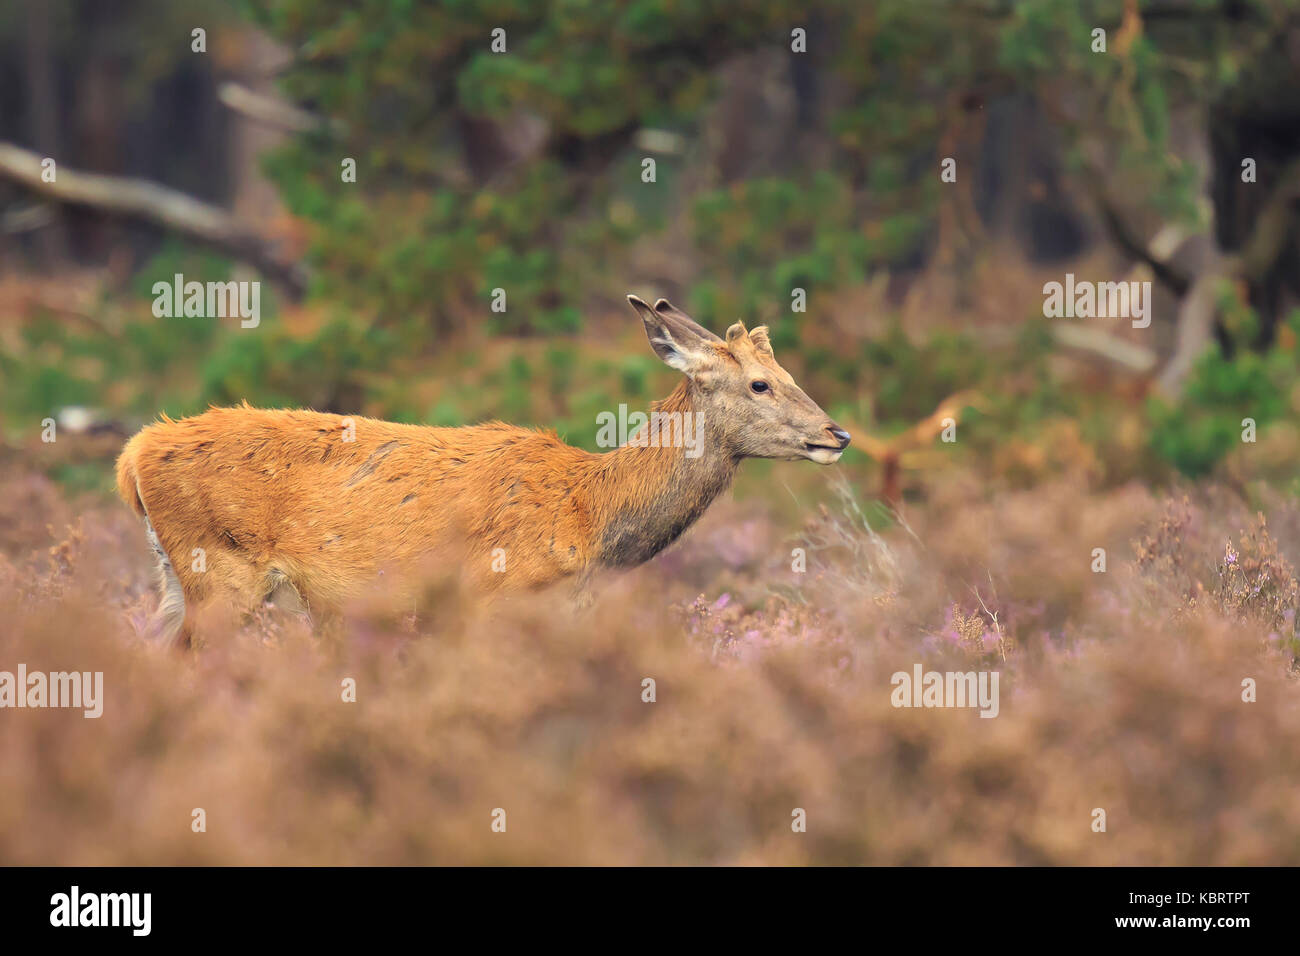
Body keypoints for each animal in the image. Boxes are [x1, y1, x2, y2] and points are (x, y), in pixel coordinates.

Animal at [115, 295, 851, 647]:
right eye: (760, 383)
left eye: (787, 372)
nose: (837, 433)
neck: (591, 517)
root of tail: (133, 457)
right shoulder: (492, 599)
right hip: (222, 570)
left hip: (176, 579)